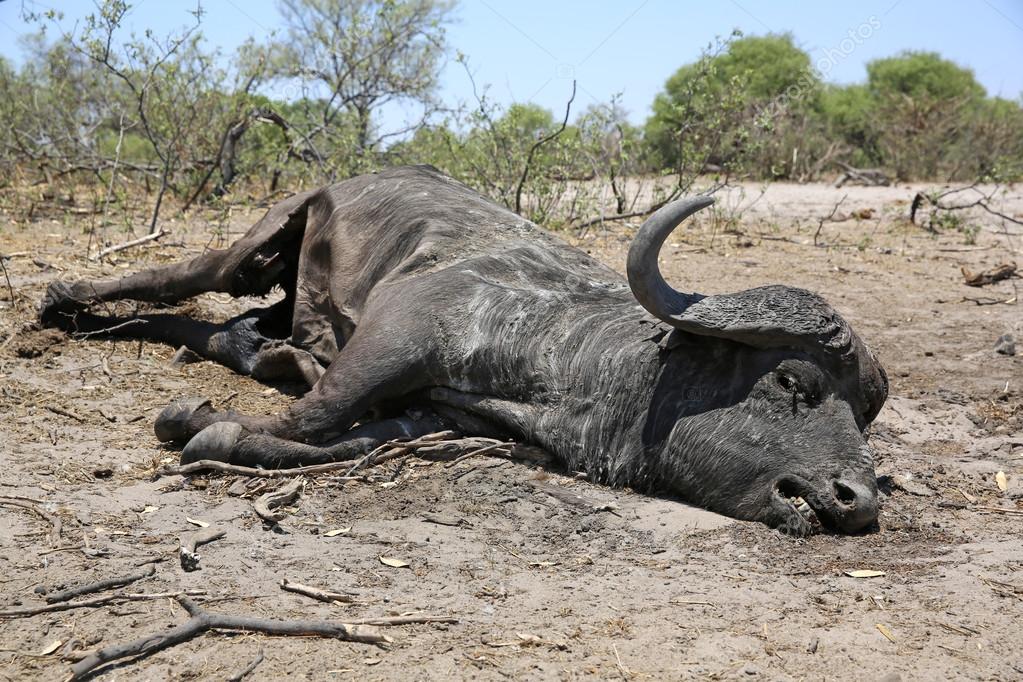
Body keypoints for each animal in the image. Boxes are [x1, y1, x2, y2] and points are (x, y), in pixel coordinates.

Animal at [40, 165, 887, 535]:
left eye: (863, 416)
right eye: (791, 380)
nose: (856, 499)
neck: (579, 358)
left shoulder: (440, 419)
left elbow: (332, 443)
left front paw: (223, 428)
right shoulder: (394, 339)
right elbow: (313, 418)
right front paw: (193, 421)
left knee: (224, 328)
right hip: (259, 237)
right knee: (179, 278)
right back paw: (60, 303)